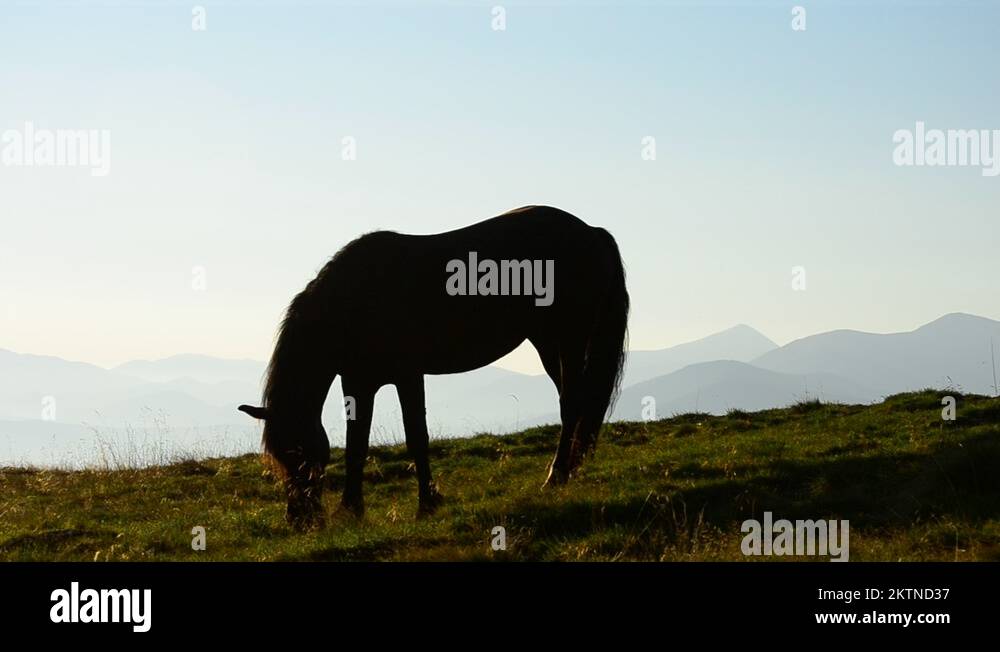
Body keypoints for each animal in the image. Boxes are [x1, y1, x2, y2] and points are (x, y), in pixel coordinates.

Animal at [238, 205, 629, 528]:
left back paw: (557, 476)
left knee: (572, 403)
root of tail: (591, 231)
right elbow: (355, 444)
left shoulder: (408, 375)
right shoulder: (358, 383)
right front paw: (351, 509)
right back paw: (571, 469)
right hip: (547, 342)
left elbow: (416, 437)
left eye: (299, 454)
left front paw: (426, 503)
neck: (355, 302)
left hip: (568, 338)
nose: (299, 519)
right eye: (278, 457)